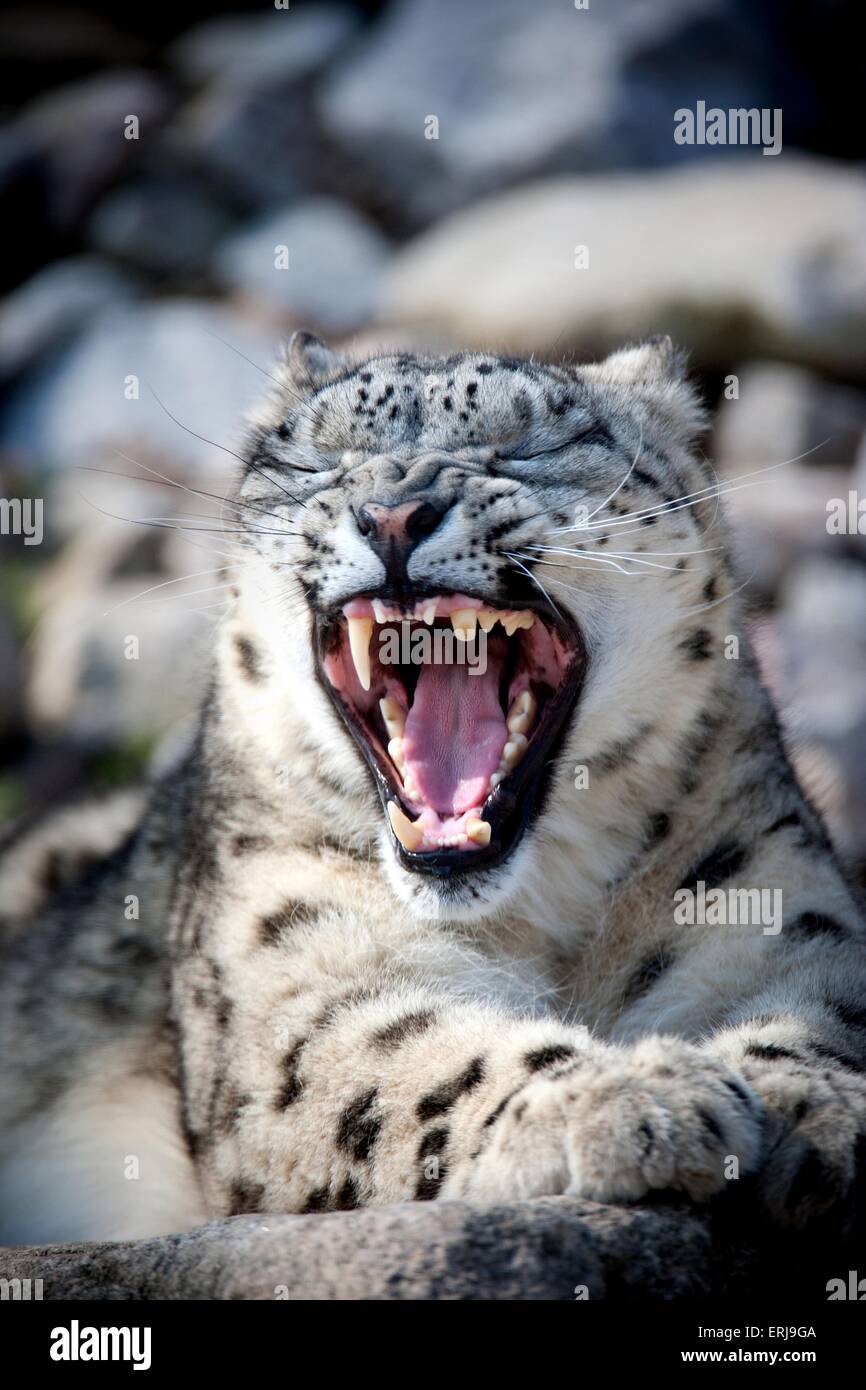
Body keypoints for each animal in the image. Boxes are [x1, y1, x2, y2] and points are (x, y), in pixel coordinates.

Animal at [2, 331, 865, 1248]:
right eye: (319, 460)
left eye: (531, 447)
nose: (391, 515)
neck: (539, 909)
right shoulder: (292, 977)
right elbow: (403, 1059)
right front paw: (632, 1096)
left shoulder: (777, 901)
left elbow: (831, 1009)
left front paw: (796, 1102)